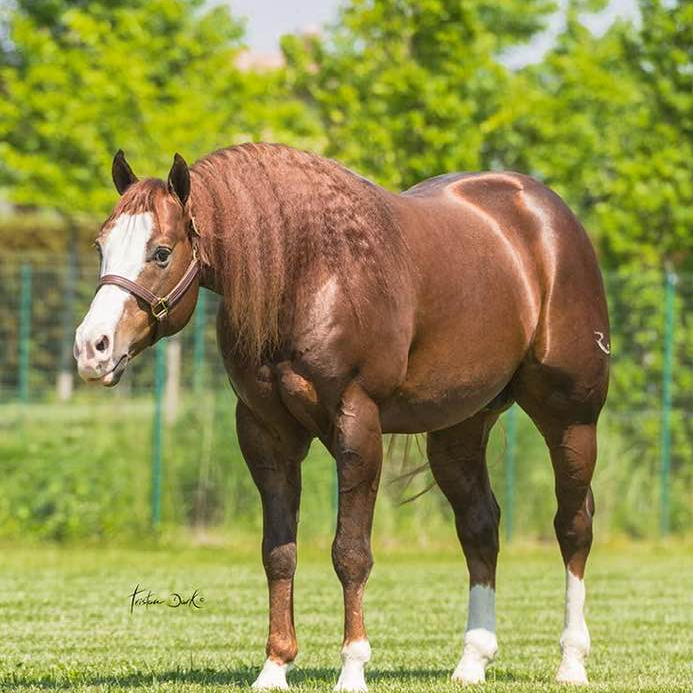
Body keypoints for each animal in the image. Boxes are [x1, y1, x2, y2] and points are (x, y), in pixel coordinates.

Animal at [74, 143, 609, 690]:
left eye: (160, 252)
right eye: (101, 247)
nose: (92, 348)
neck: (306, 274)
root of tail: (545, 212)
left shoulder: (358, 426)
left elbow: (350, 553)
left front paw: (352, 667)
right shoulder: (265, 434)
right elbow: (278, 552)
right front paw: (274, 667)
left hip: (571, 419)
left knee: (573, 525)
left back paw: (571, 661)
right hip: (459, 429)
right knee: (480, 525)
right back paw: (472, 661)